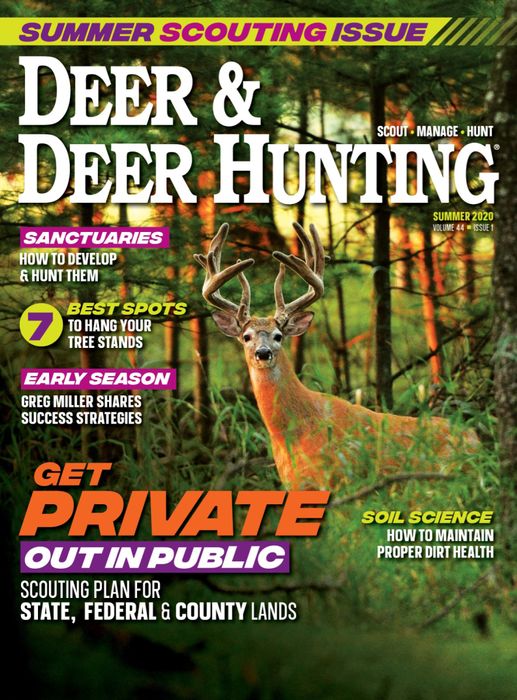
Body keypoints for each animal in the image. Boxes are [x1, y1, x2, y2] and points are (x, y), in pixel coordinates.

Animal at [195, 222, 479, 489]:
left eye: (278, 336)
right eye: (246, 336)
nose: (263, 353)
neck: (294, 432)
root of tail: (475, 437)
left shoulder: (340, 477)